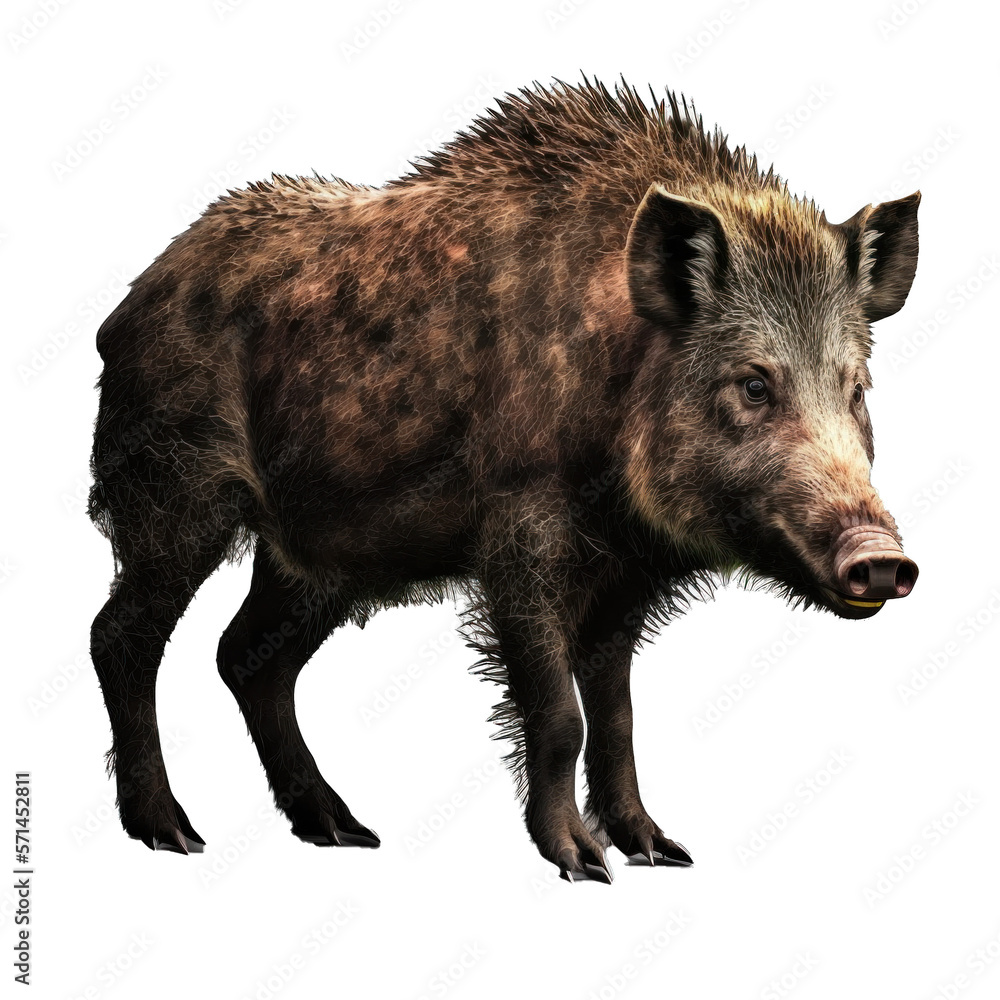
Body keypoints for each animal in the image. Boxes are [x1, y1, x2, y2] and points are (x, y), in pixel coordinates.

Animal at [88, 77, 919, 883]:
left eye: (855, 388)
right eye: (752, 383)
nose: (883, 557)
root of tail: (127, 304)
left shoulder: (627, 577)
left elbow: (617, 716)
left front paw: (660, 852)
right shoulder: (519, 534)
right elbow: (560, 714)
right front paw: (583, 867)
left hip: (318, 556)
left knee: (246, 656)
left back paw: (345, 829)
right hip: (177, 489)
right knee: (122, 635)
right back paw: (173, 834)